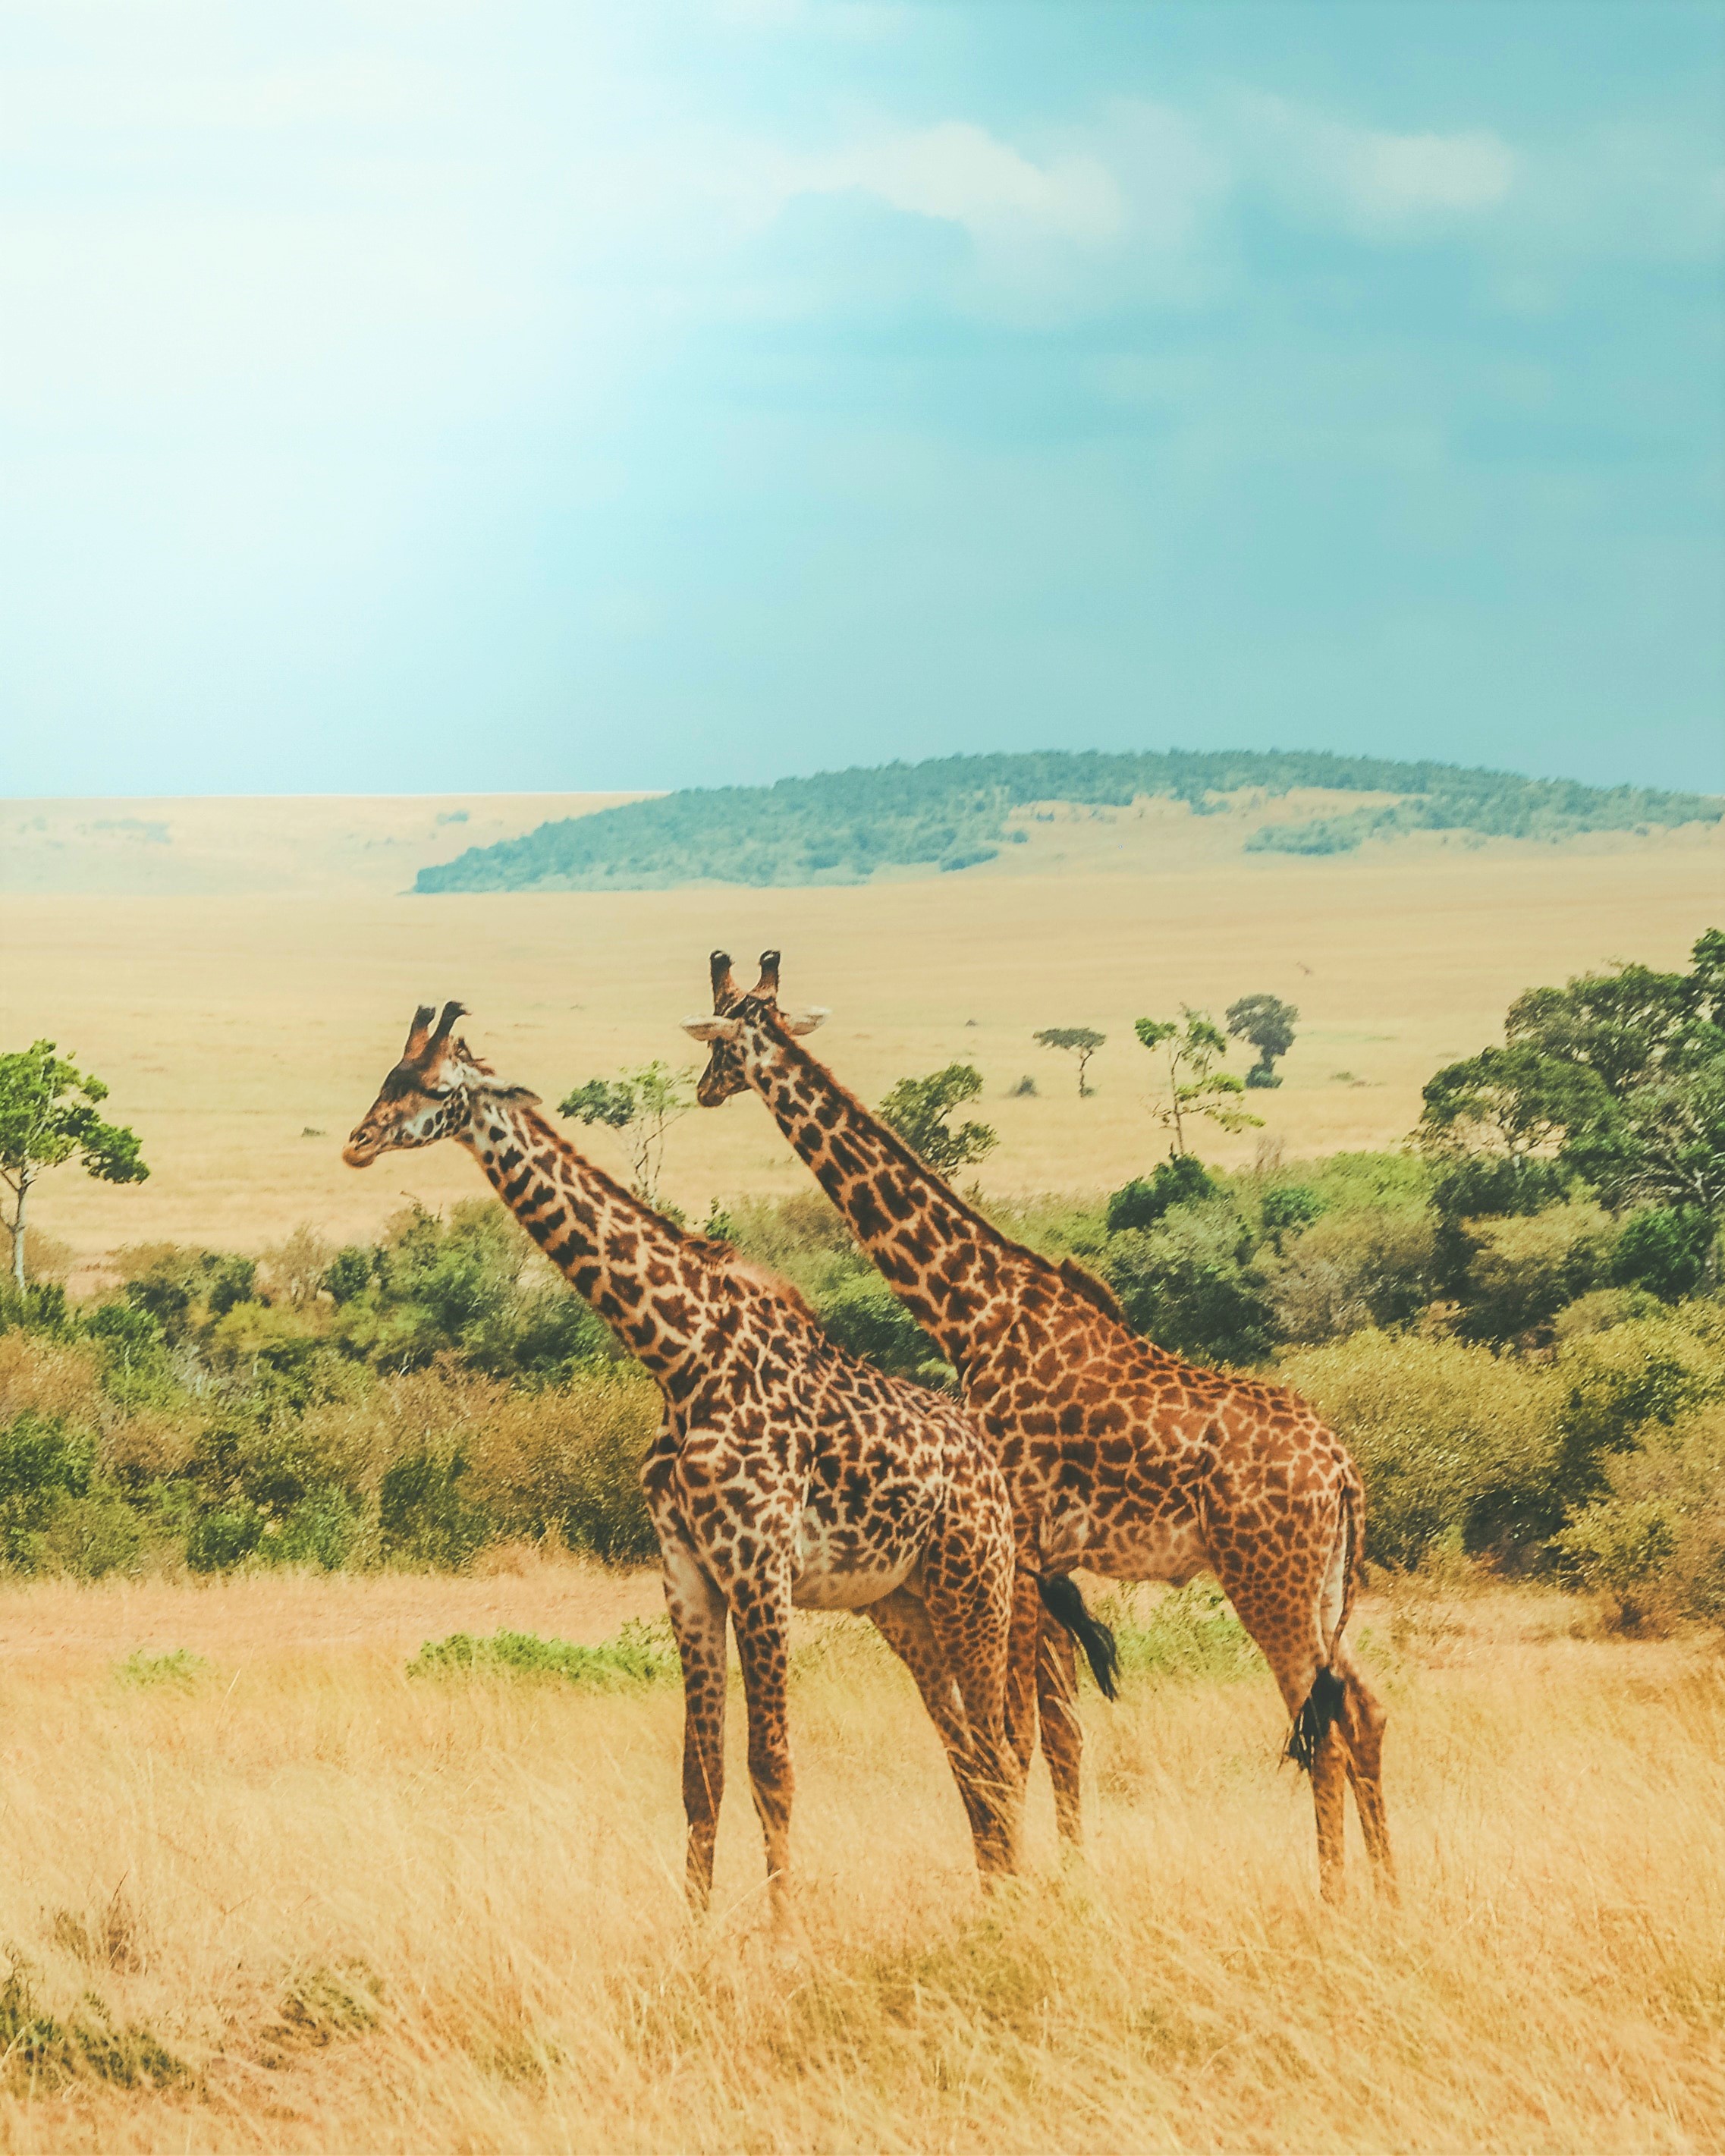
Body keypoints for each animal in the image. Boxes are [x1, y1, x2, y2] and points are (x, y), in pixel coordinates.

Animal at [343, 1000, 1034, 1926]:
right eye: (390, 1075)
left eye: (433, 1086)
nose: (357, 1142)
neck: (679, 1356)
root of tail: (993, 1470)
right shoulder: (688, 1575)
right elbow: (698, 1776)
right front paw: (696, 1933)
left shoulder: (761, 1570)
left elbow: (772, 1767)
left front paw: (781, 1937)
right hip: (904, 1603)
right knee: (967, 1752)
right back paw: (993, 1904)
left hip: (975, 1586)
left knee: (999, 1752)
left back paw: (1015, 1910)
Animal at [683, 955, 1393, 1900]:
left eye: (722, 1038)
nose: (701, 1090)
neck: (972, 1308)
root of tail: (1343, 1473)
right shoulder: (1047, 1560)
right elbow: (1056, 1731)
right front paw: (1064, 1877)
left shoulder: (1015, 1544)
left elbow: (1016, 1738)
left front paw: (1021, 1886)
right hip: (1320, 1585)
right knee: (1364, 1708)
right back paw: (1389, 1893)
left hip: (1268, 1580)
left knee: (1319, 1726)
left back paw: (1333, 1899)